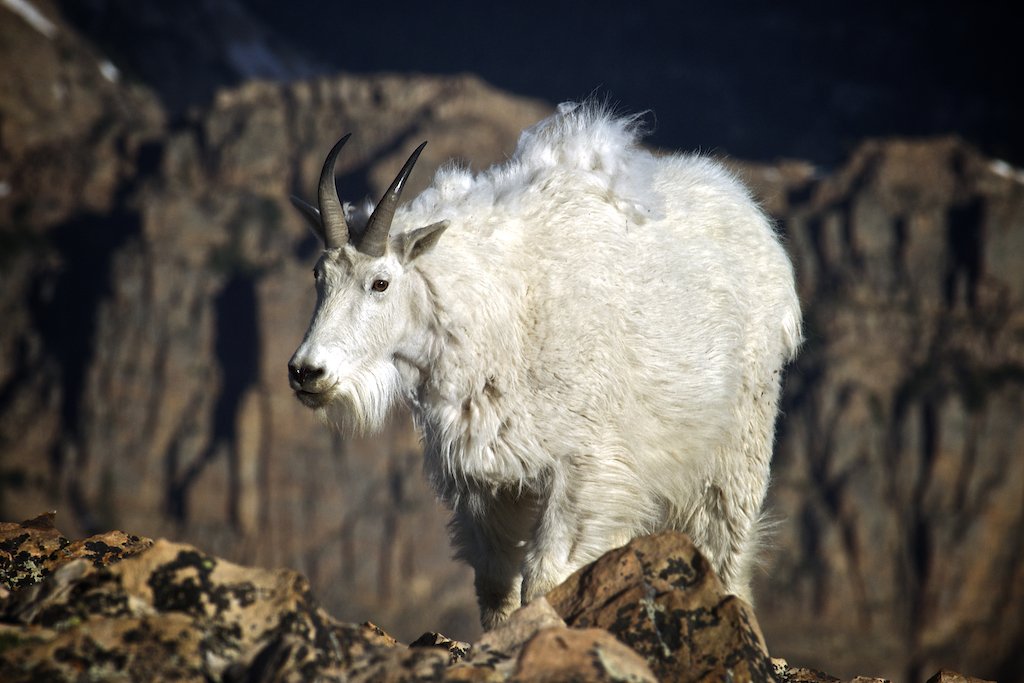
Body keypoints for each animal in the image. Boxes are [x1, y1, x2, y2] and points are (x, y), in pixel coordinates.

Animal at [287, 103, 802, 628]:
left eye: (380, 282)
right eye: (318, 275)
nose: (307, 372)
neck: (499, 305)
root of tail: (758, 227)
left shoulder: (585, 467)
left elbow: (545, 577)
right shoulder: (486, 481)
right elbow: (496, 585)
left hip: (737, 450)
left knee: (727, 556)